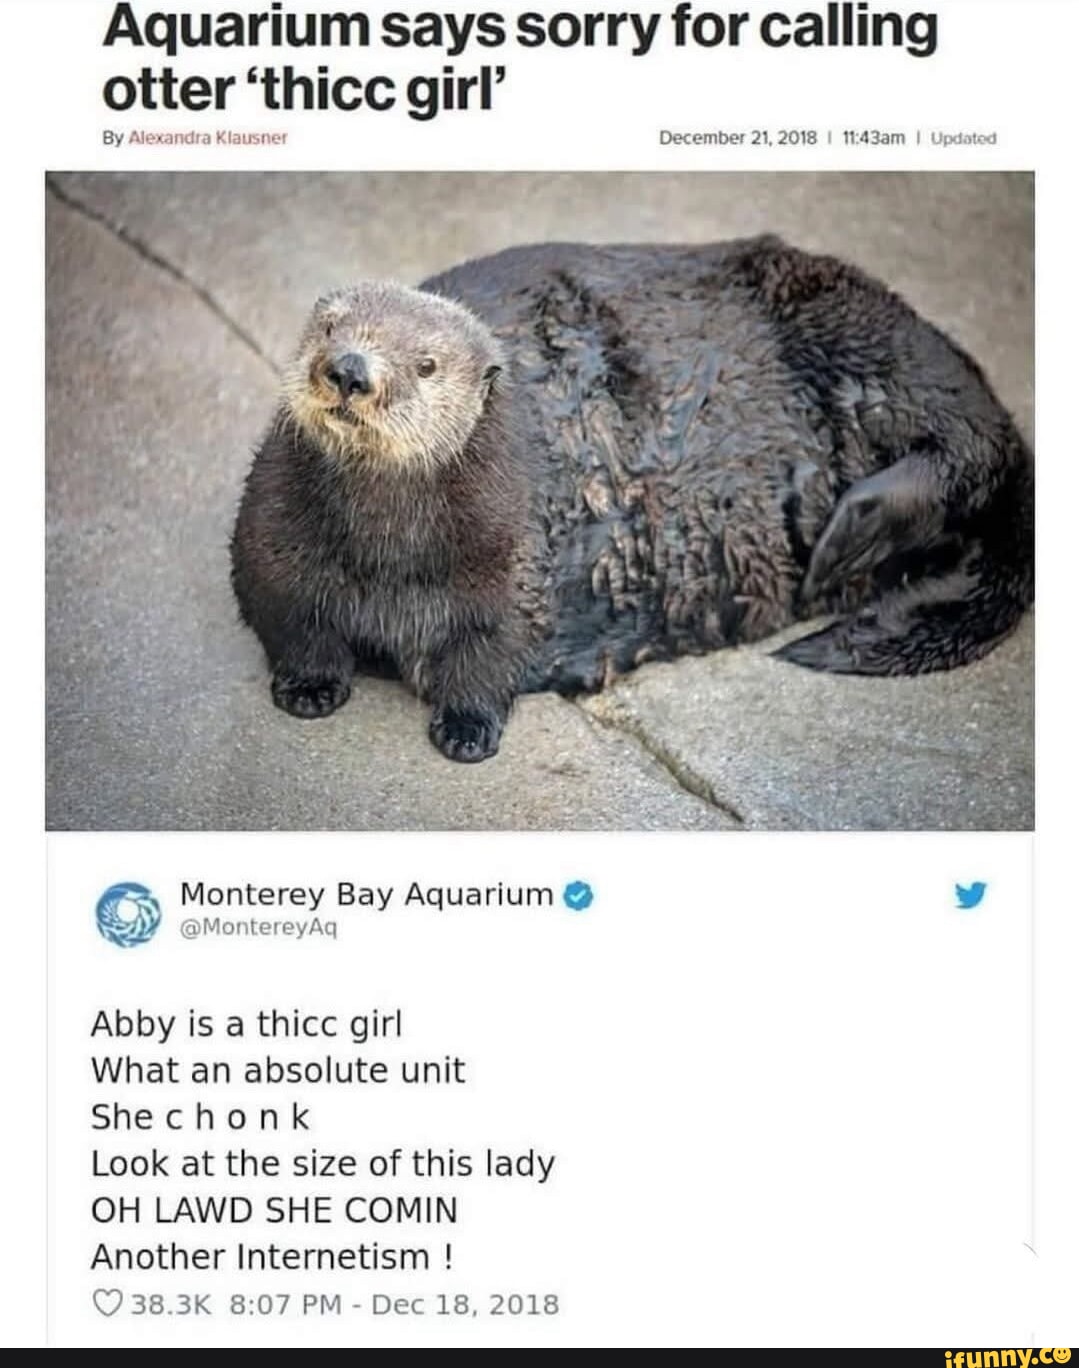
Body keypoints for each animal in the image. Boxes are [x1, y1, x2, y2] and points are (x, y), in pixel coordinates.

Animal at [230, 235, 1034, 763]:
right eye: (329, 327)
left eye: (425, 365)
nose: (349, 369)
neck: (388, 556)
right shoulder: (271, 534)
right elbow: (287, 617)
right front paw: (308, 689)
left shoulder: (513, 562)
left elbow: (495, 651)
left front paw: (467, 728)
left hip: (863, 332)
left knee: (974, 446)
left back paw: (849, 535)